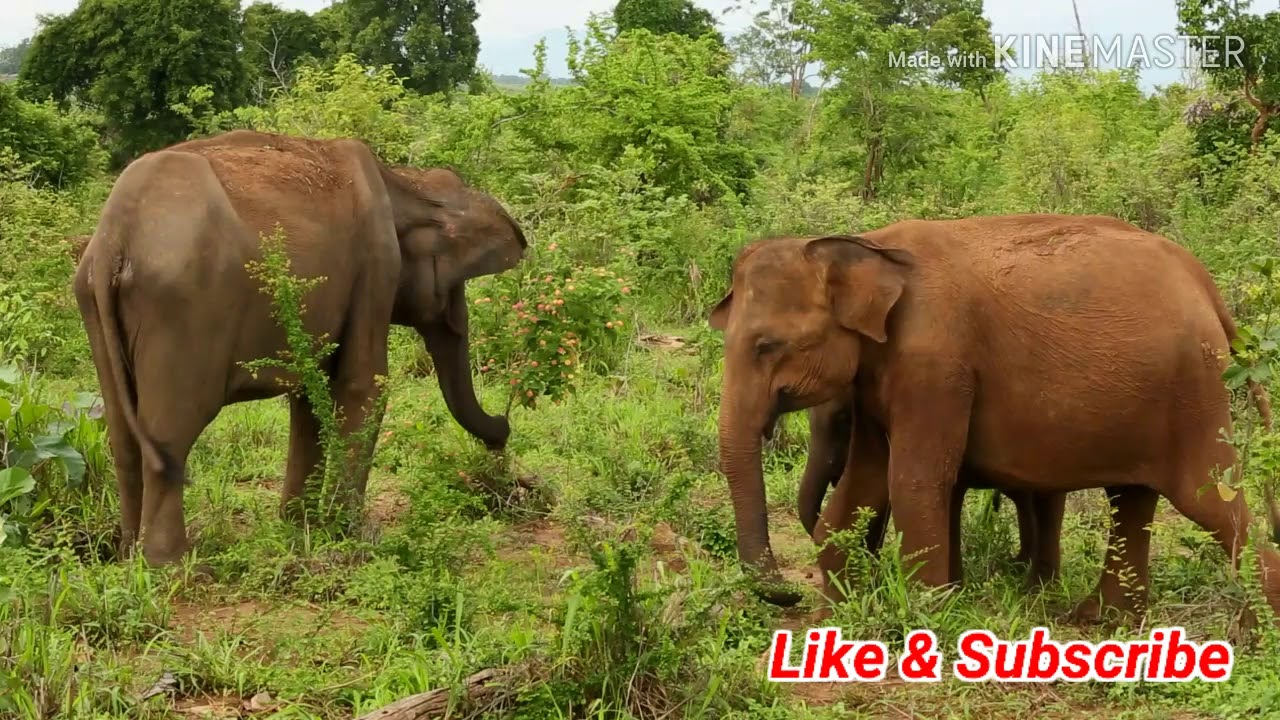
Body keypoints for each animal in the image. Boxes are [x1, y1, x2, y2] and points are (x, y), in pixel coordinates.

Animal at [74, 129, 527, 566]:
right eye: (456, 287)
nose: (502, 432)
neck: (406, 182)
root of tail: (115, 238)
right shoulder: (377, 262)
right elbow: (365, 387)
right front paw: (352, 536)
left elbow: (310, 395)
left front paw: (298, 528)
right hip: (182, 308)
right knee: (172, 433)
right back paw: (173, 567)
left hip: (94, 303)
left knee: (122, 432)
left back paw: (128, 556)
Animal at [708, 213, 1280, 620]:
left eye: (766, 345)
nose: (786, 594)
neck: (865, 245)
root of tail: (1205, 284)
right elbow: (864, 482)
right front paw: (838, 611)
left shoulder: (936, 364)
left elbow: (912, 480)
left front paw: (926, 616)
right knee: (1132, 499)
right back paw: (1100, 619)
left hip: (1194, 390)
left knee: (1213, 501)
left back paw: (1257, 634)